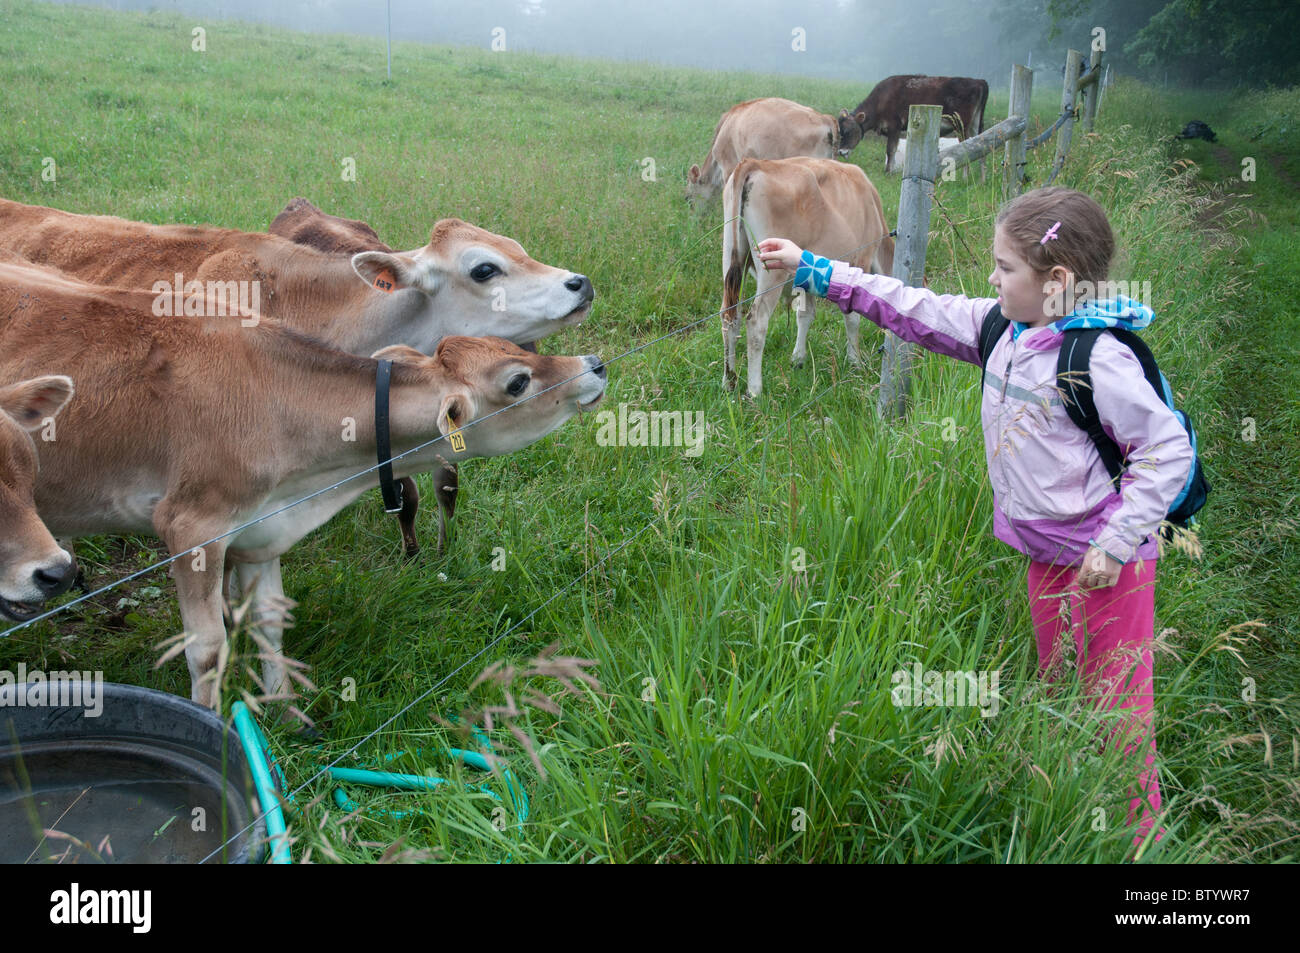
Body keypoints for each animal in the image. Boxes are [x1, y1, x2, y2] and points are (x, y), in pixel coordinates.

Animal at [721, 157, 894, 399]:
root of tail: (754, 163)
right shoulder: (859, 260)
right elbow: (852, 318)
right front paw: (855, 363)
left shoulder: (807, 274)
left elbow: (805, 315)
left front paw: (798, 359)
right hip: (772, 271)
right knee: (756, 322)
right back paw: (755, 390)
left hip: (731, 254)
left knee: (729, 317)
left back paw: (729, 381)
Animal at [837, 75, 989, 174]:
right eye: (839, 131)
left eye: (848, 131)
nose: (840, 152)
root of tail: (979, 81)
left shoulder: (894, 126)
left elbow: (890, 150)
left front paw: (888, 172)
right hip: (977, 123)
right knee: (982, 145)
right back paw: (982, 180)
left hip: (961, 124)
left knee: (967, 147)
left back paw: (966, 177)